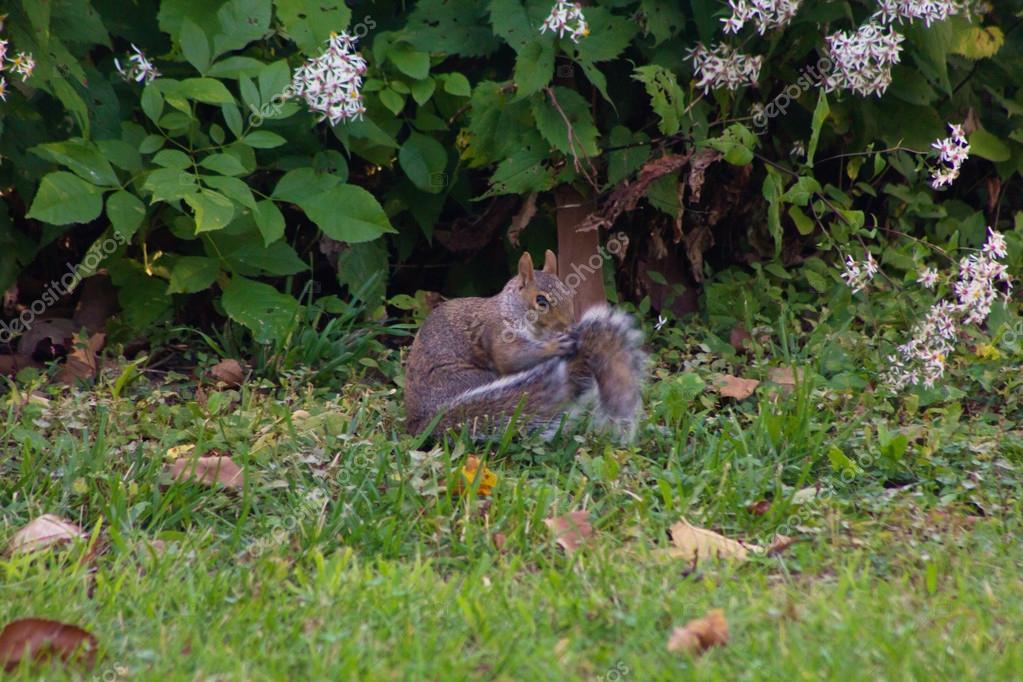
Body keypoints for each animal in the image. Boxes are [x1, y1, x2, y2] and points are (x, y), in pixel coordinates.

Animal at [403, 249, 647, 440]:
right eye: (541, 301)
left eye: (569, 293)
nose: (569, 327)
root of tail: (424, 421)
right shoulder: (498, 334)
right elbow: (512, 358)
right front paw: (555, 346)